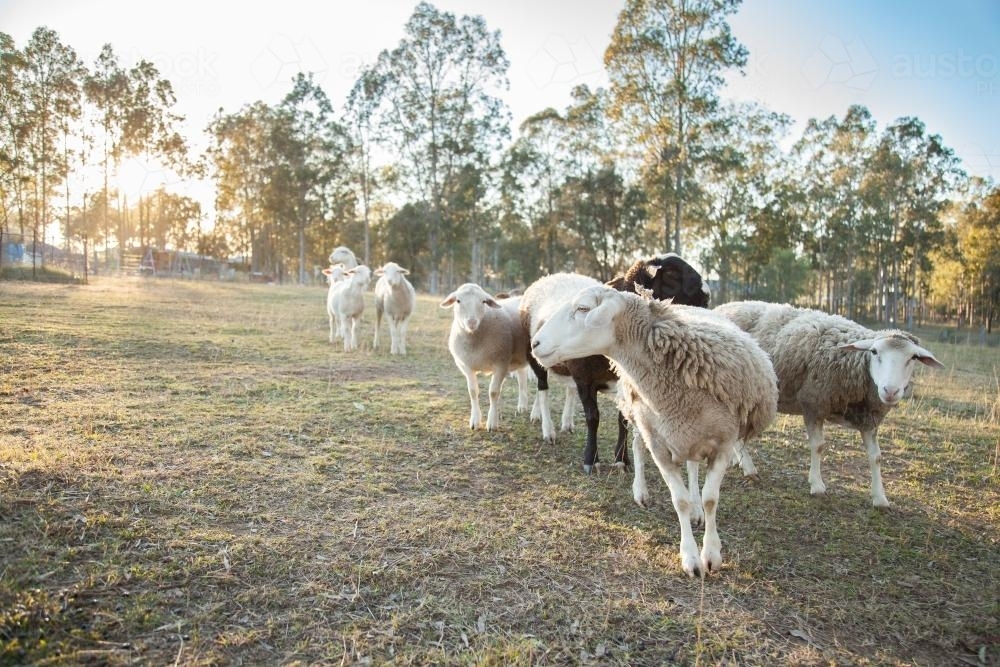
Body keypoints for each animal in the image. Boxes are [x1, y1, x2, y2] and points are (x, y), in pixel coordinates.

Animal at [440, 283, 530, 431]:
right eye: (458, 301)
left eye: (483, 301)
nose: (471, 322)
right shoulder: (466, 367)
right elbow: (472, 391)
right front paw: (475, 421)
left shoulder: (501, 364)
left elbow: (493, 392)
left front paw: (492, 422)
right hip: (520, 356)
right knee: (522, 377)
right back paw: (522, 406)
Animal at [531, 285, 778, 577]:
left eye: (582, 308)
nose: (534, 343)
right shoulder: (658, 444)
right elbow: (679, 500)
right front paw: (690, 558)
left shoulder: (724, 444)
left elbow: (710, 499)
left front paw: (711, 553)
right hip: (640, 416)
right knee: (638, 446)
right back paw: (641, 492)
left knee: (693, 467)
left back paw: (696, 509)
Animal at [713, 300, 945, 507]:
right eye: (874, 352)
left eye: (913, 357)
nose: (890, 391)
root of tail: (723, 307)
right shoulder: (813, 405)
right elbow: (818, 446)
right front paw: (817, 485)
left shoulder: (868, 420)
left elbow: (876, 457)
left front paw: (880, 498)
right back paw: (748, 467)